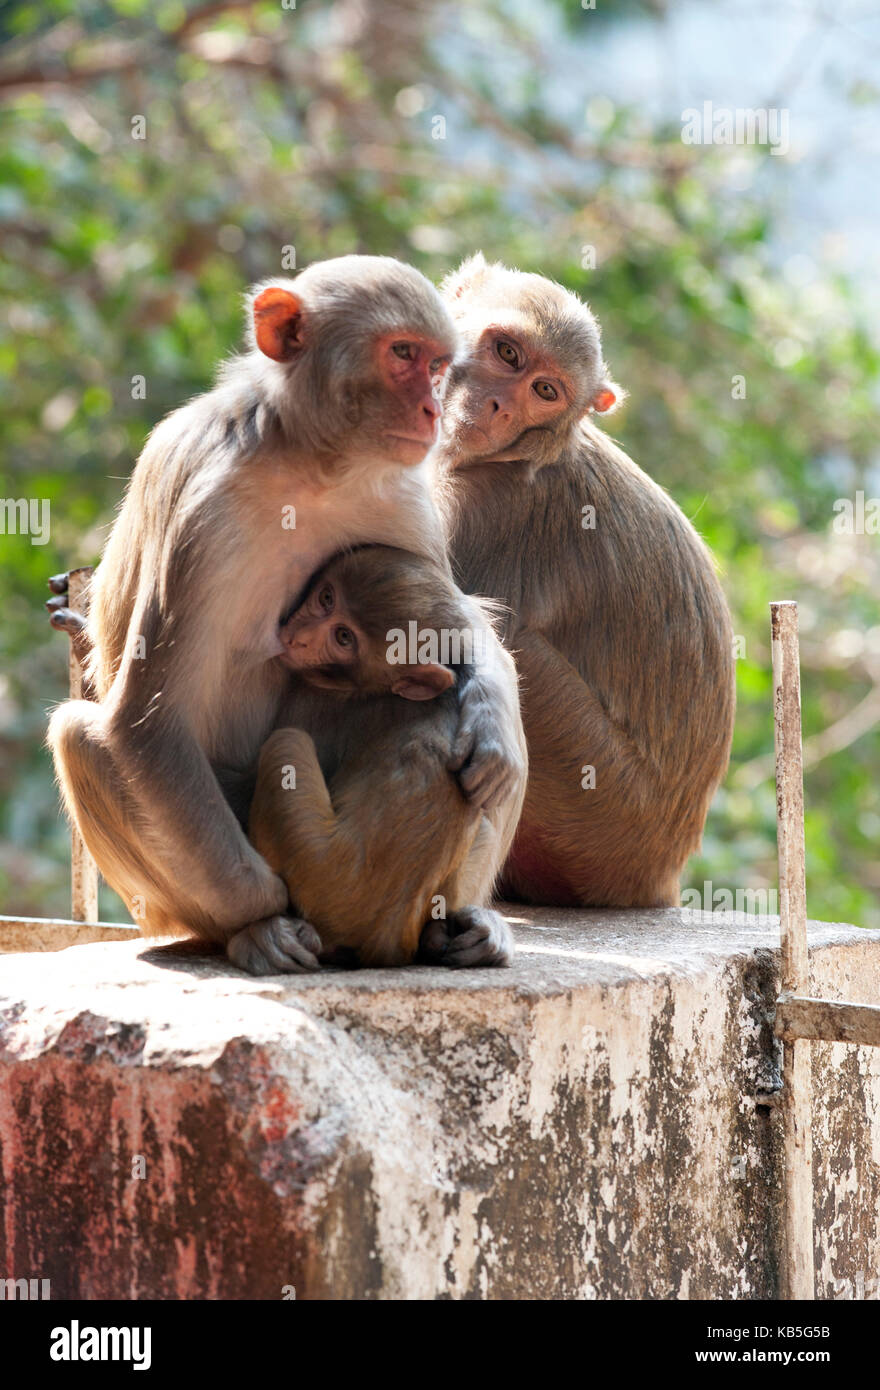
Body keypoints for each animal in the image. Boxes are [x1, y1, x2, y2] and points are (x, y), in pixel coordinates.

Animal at [247, 545, 522, 969]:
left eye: (344, 637)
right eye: (326, 598)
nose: (299, 638)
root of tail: (386, 940)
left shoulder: (314, 697)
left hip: (310, 858)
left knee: (286, 744)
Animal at [435, 254, 736, 910]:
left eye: (545, 393)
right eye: (508, 354)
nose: (497, 407)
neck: (513, 456)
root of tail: (661, 873)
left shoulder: (479, 511)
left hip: (606, 810)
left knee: (511, 641)